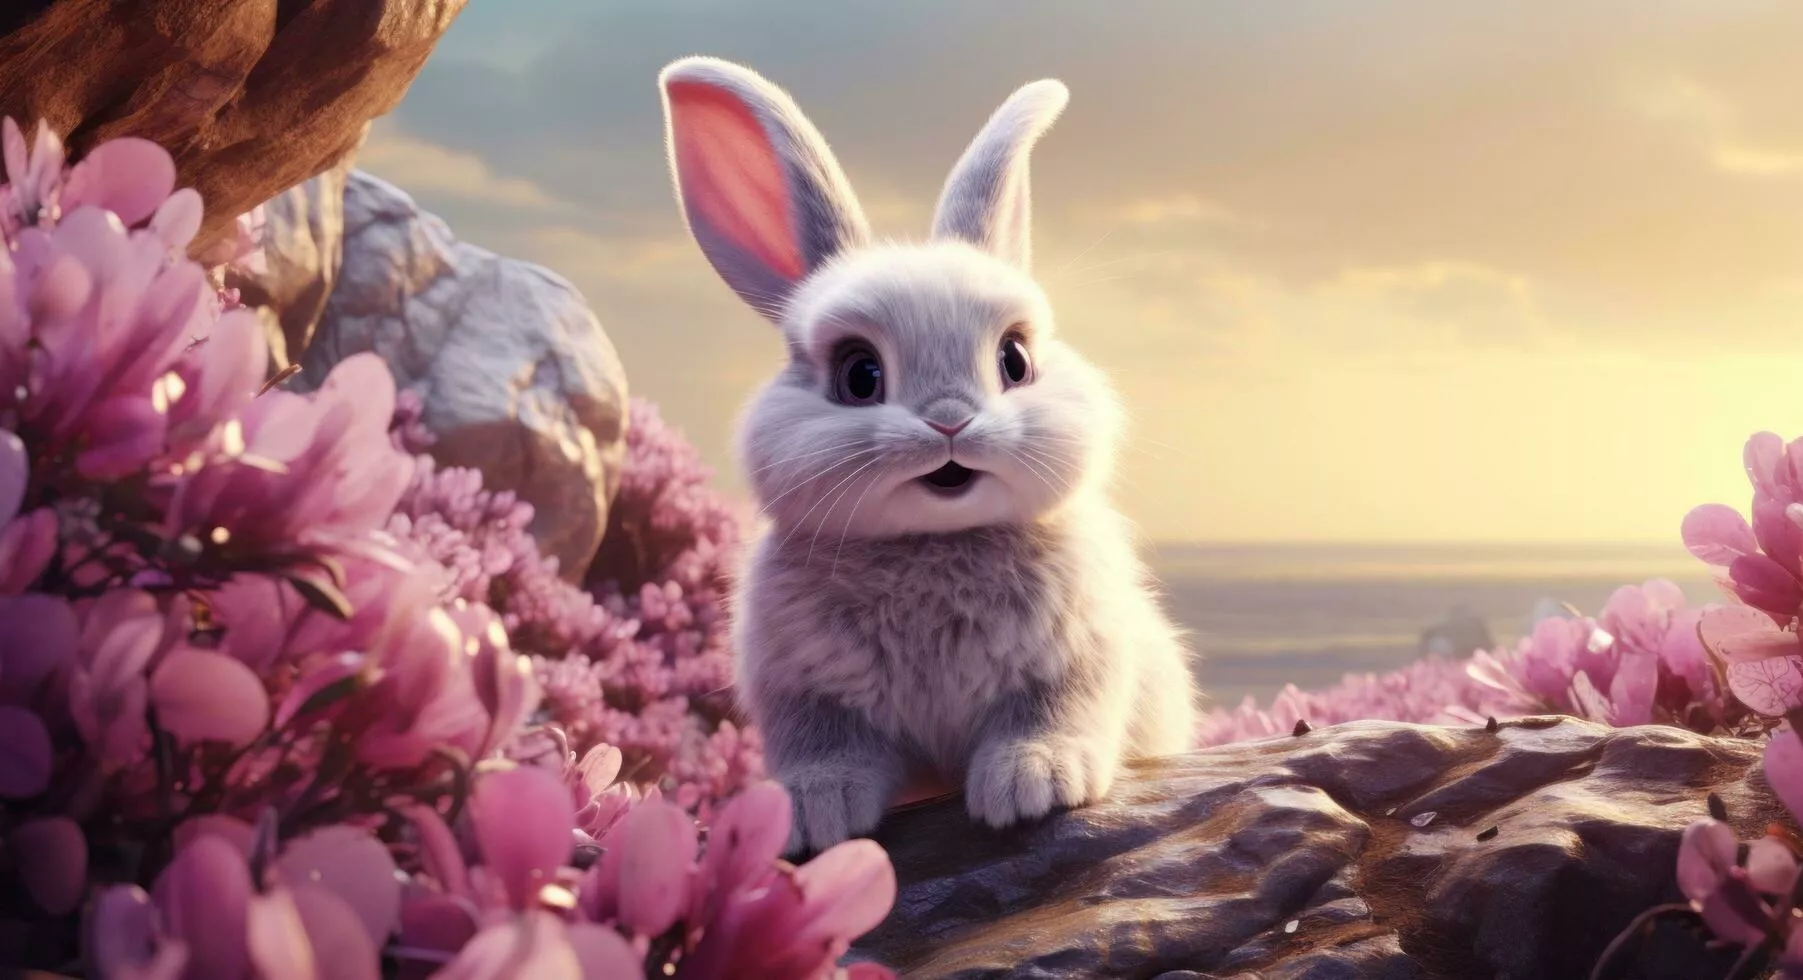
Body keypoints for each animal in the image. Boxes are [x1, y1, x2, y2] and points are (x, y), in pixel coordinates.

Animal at [658, 55, 1198, 855]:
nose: (950, 421)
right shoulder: (808, 695)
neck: (932, 544)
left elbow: (1049, 716)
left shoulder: (1075, 661)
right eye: (858, 375)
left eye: (1014, 360)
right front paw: (811, 812)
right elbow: (829, 751)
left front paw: (1033, 784)